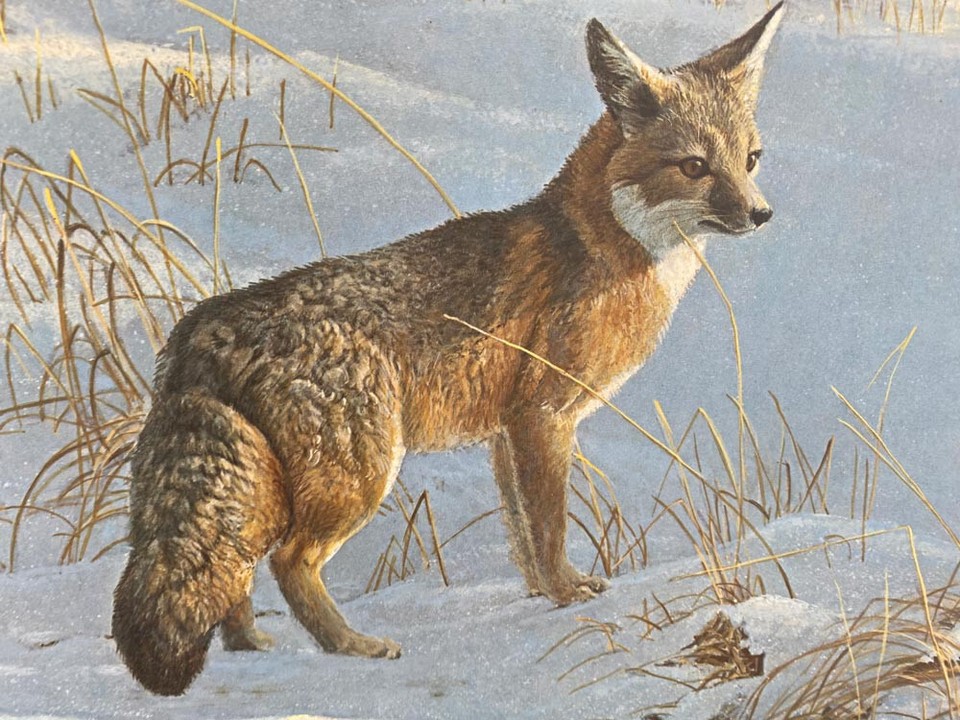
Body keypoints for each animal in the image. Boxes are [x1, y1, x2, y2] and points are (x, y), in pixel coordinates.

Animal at [112, 3, 784, 696]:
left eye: (751, 159)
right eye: (694, 167)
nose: (761, 214)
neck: (602, 244)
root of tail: (200, 328)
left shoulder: (508, 431)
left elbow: (522, 534)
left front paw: (540, 597)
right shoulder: (545, 416)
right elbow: (550, 526)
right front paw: (568, 594)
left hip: (275, 490)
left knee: (235, 568)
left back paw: (252, 646)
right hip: (358, 478)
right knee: (287, 562)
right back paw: (351, 646)